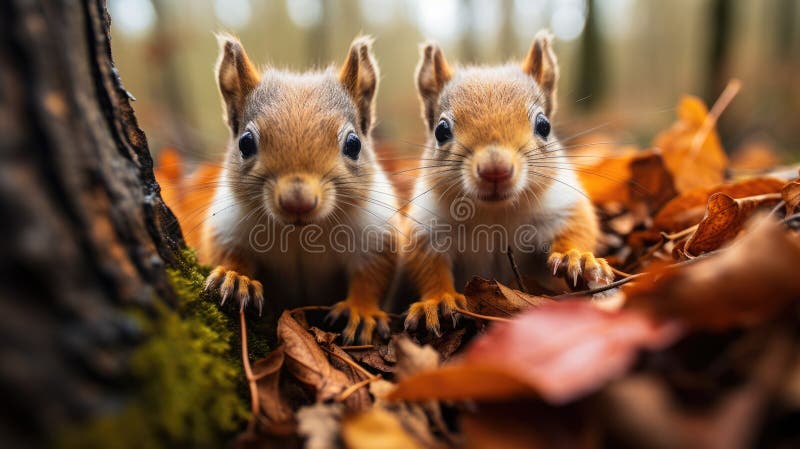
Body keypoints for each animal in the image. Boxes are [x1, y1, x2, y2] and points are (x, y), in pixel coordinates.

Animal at [198, 34, 400, 343]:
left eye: (354, 144)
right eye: (245, 143)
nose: (297, 202)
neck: (300, 234)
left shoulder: (376, 231)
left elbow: (372, 275)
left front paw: (361, 309)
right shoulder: (228, 224)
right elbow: (227, 252)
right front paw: (236, 278)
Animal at [403, 31, 614, 333]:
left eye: (544, 125)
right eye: (441, 131)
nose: (495, 170)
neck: (495, 213)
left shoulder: (562, 204)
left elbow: (579, 226)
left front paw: (576, 257)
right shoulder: (429, 225)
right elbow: (426, 263)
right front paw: (439, 300)